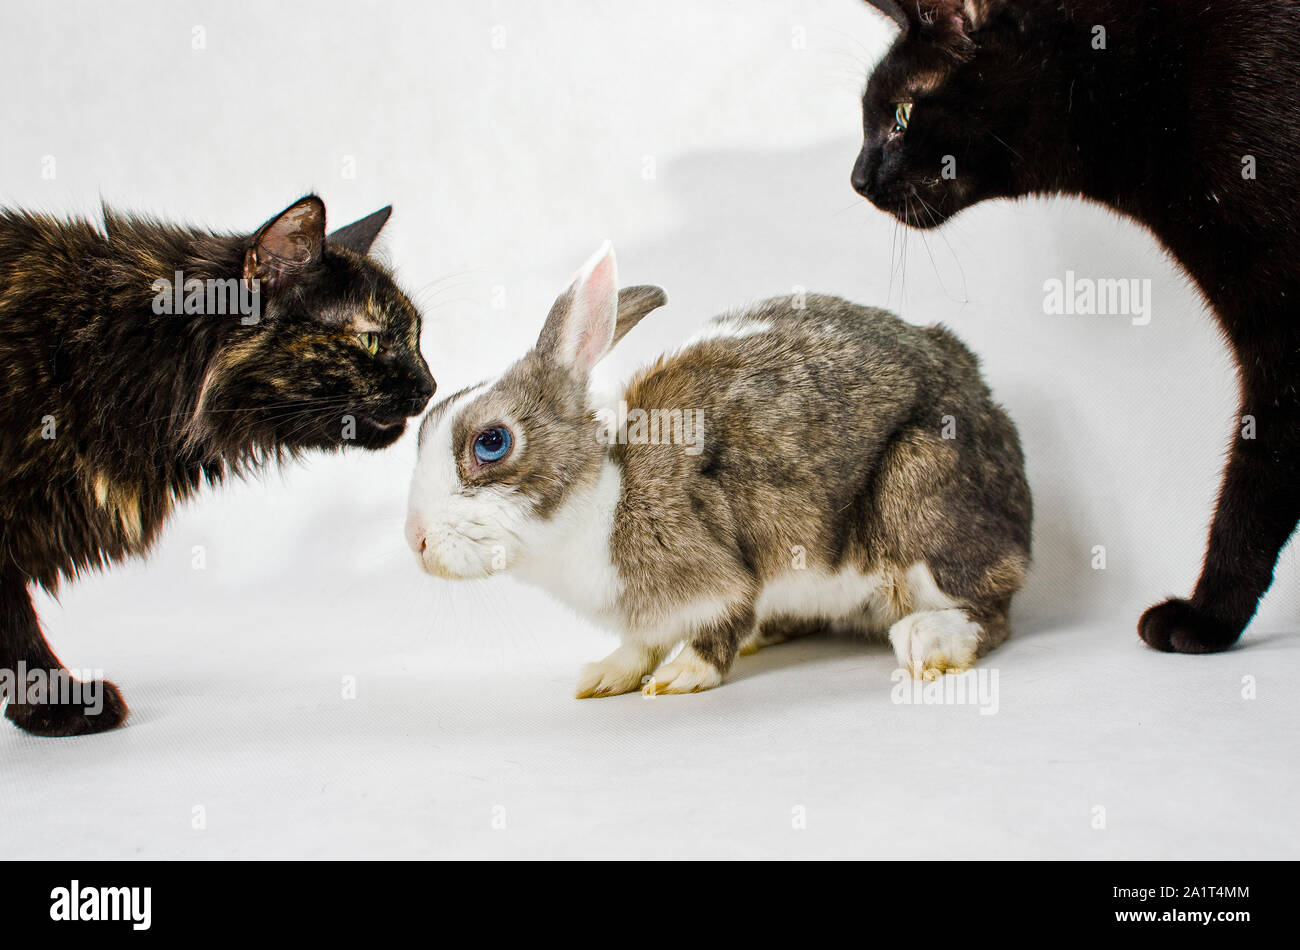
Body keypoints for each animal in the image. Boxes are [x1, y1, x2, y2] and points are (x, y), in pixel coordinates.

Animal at [405, 242, 1032, 697]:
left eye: (491, 442)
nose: (415, 541)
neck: (604, 496)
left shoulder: (720, 576)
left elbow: (718, 624)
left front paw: (680, 677)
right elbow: (639, 643)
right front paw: (605, 675)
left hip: (921, 493)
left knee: (992, 614)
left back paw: (930, 639)